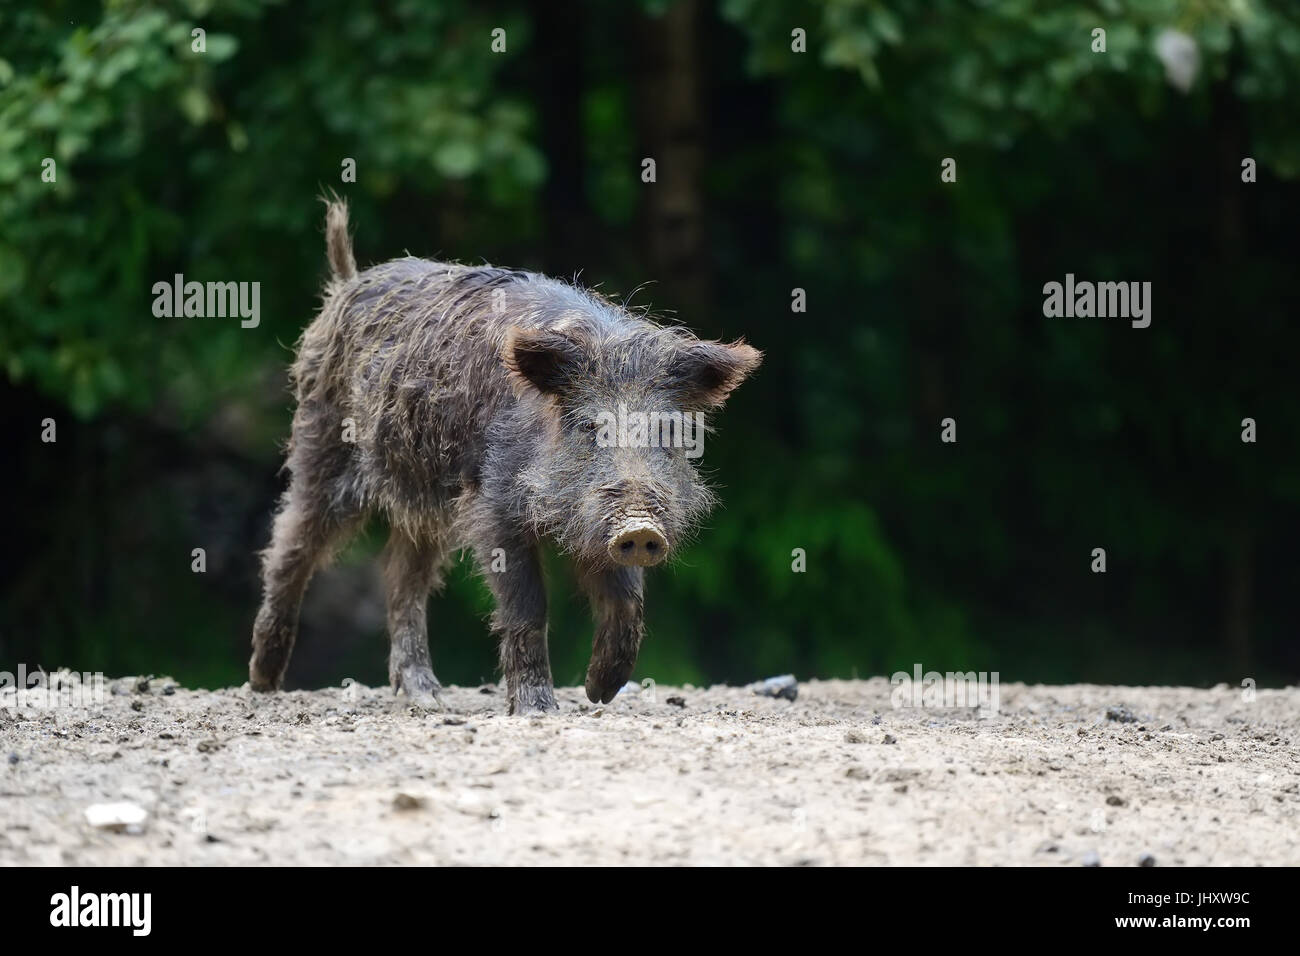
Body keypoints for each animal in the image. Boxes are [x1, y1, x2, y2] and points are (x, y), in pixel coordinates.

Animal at [249, 200, 761, 714]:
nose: (639, 528)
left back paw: (427, 697)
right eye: (589, 426)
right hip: (322, 450)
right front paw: (537, 710)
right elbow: (527, 605)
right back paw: (263, 681)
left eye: (667, 429)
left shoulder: (594, 521)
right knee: (290, 544)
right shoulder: (494, 505)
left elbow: (626, 600)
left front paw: (598, 692)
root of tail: (346, 282)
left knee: (401, 575)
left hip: (425, 501)